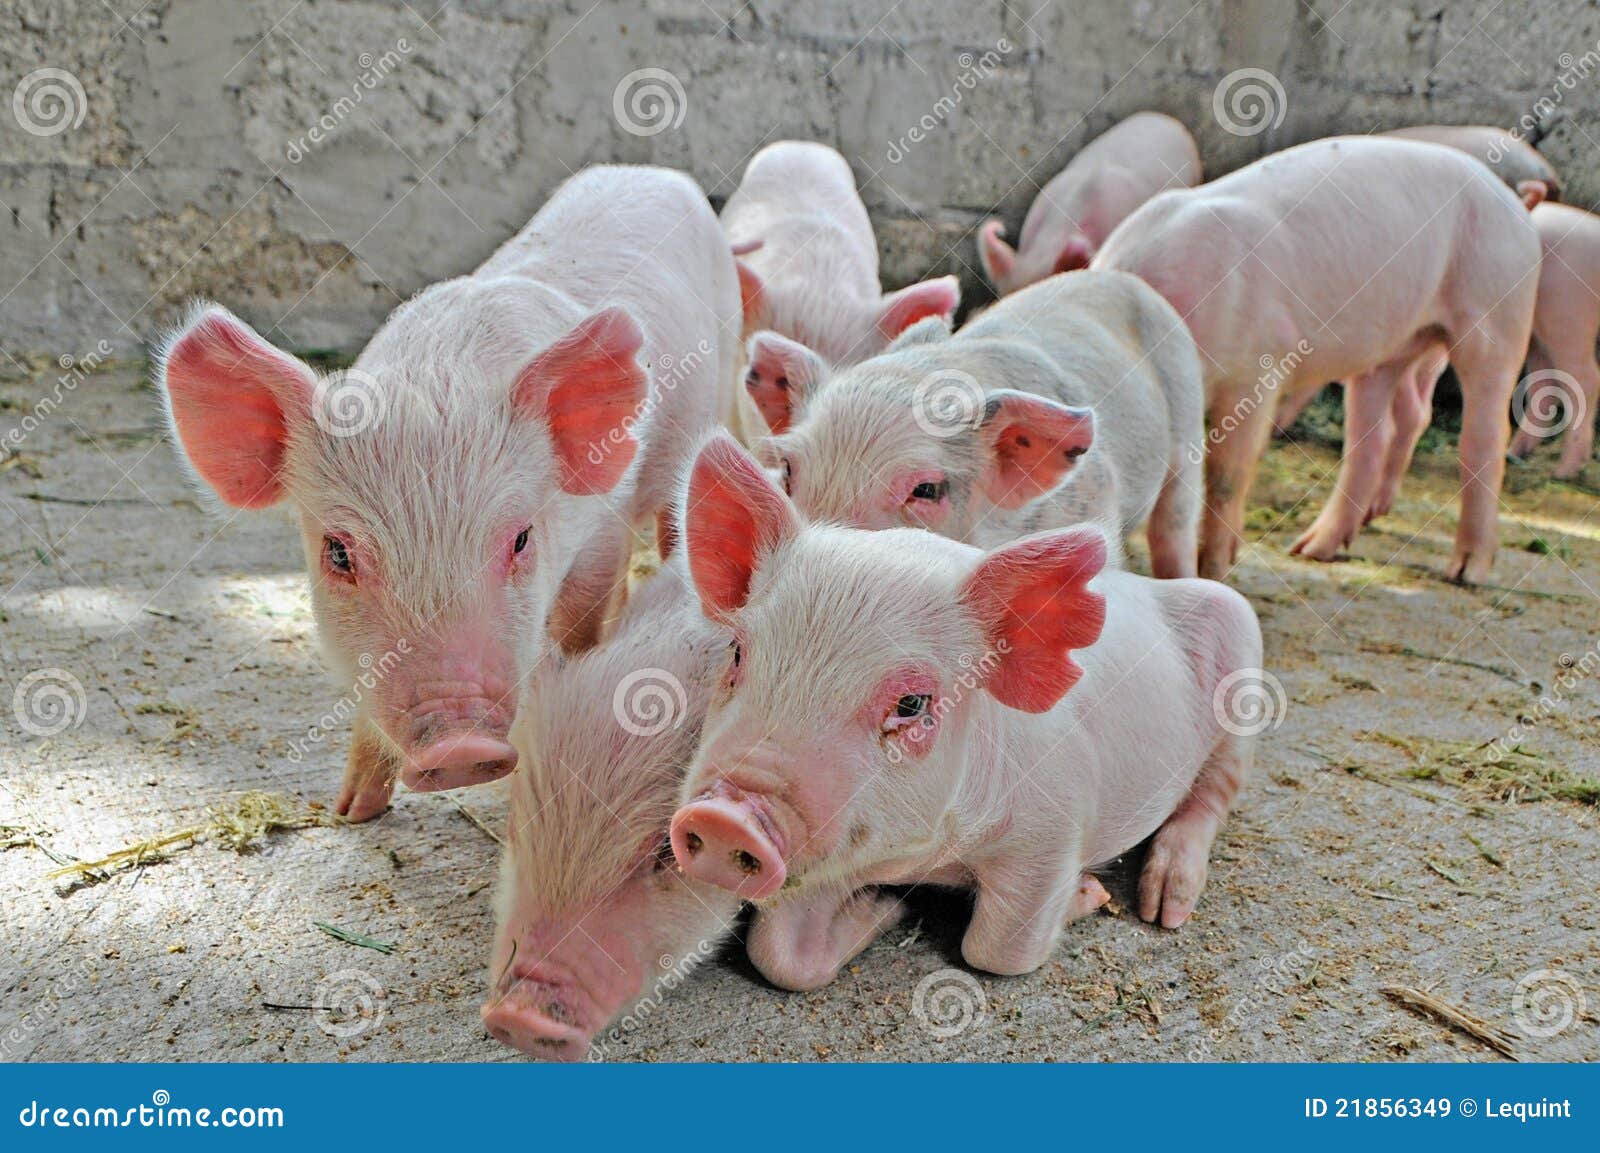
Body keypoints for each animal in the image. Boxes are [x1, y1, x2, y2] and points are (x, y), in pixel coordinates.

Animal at [157, 165, 742, 821]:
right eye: (338, 553)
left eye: (520, 539)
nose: (458, 744)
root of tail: (652, 172)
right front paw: (351, 813)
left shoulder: (603, 529)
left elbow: (581, 623)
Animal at [667, 436, 1261, 988]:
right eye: (737, 653)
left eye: (912, 703)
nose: (726, 816)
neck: (931, 859)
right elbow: (777, 955)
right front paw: (886, 904)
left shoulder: (1057, 822)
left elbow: (998, 950)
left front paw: (1088, 894)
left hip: (1242, 666)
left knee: (1213, 794)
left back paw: (1165, 909)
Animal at [1093, 136, 1541, 584]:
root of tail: (1515, 205)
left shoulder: (1258, 368)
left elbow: (1225, 476)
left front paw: (1214, 573)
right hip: (1390, 345)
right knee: (1370, 437)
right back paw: (1310, 549)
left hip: (1498, 311)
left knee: (1484, 434)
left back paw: (1466, 571)